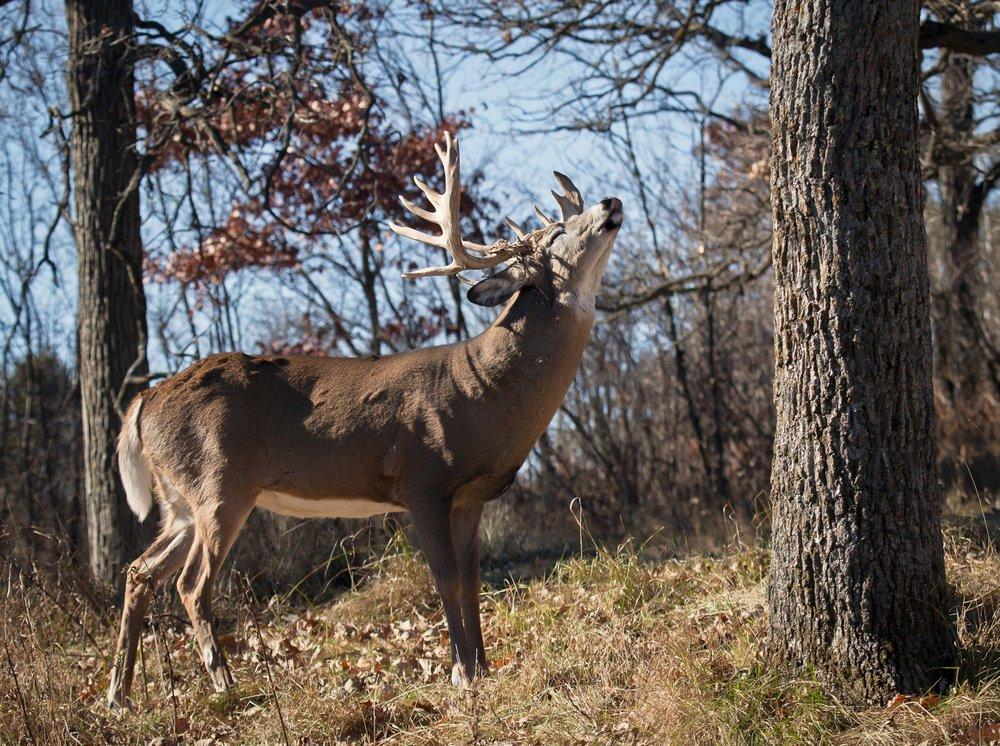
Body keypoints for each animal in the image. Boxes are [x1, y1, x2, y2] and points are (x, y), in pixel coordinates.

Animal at [111, 134, 624, 708]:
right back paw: (227, 685)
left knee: (140, 571)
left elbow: (473, 582)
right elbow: (445, 580)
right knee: (191, 584)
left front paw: (483, 669)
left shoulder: (471, 497)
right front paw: (461, 673)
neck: (485, 394)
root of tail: (142, 400)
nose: (610, 201)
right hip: (219, 484)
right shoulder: (422, 482)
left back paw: (120, 696)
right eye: (557, 234)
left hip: (178, 501)